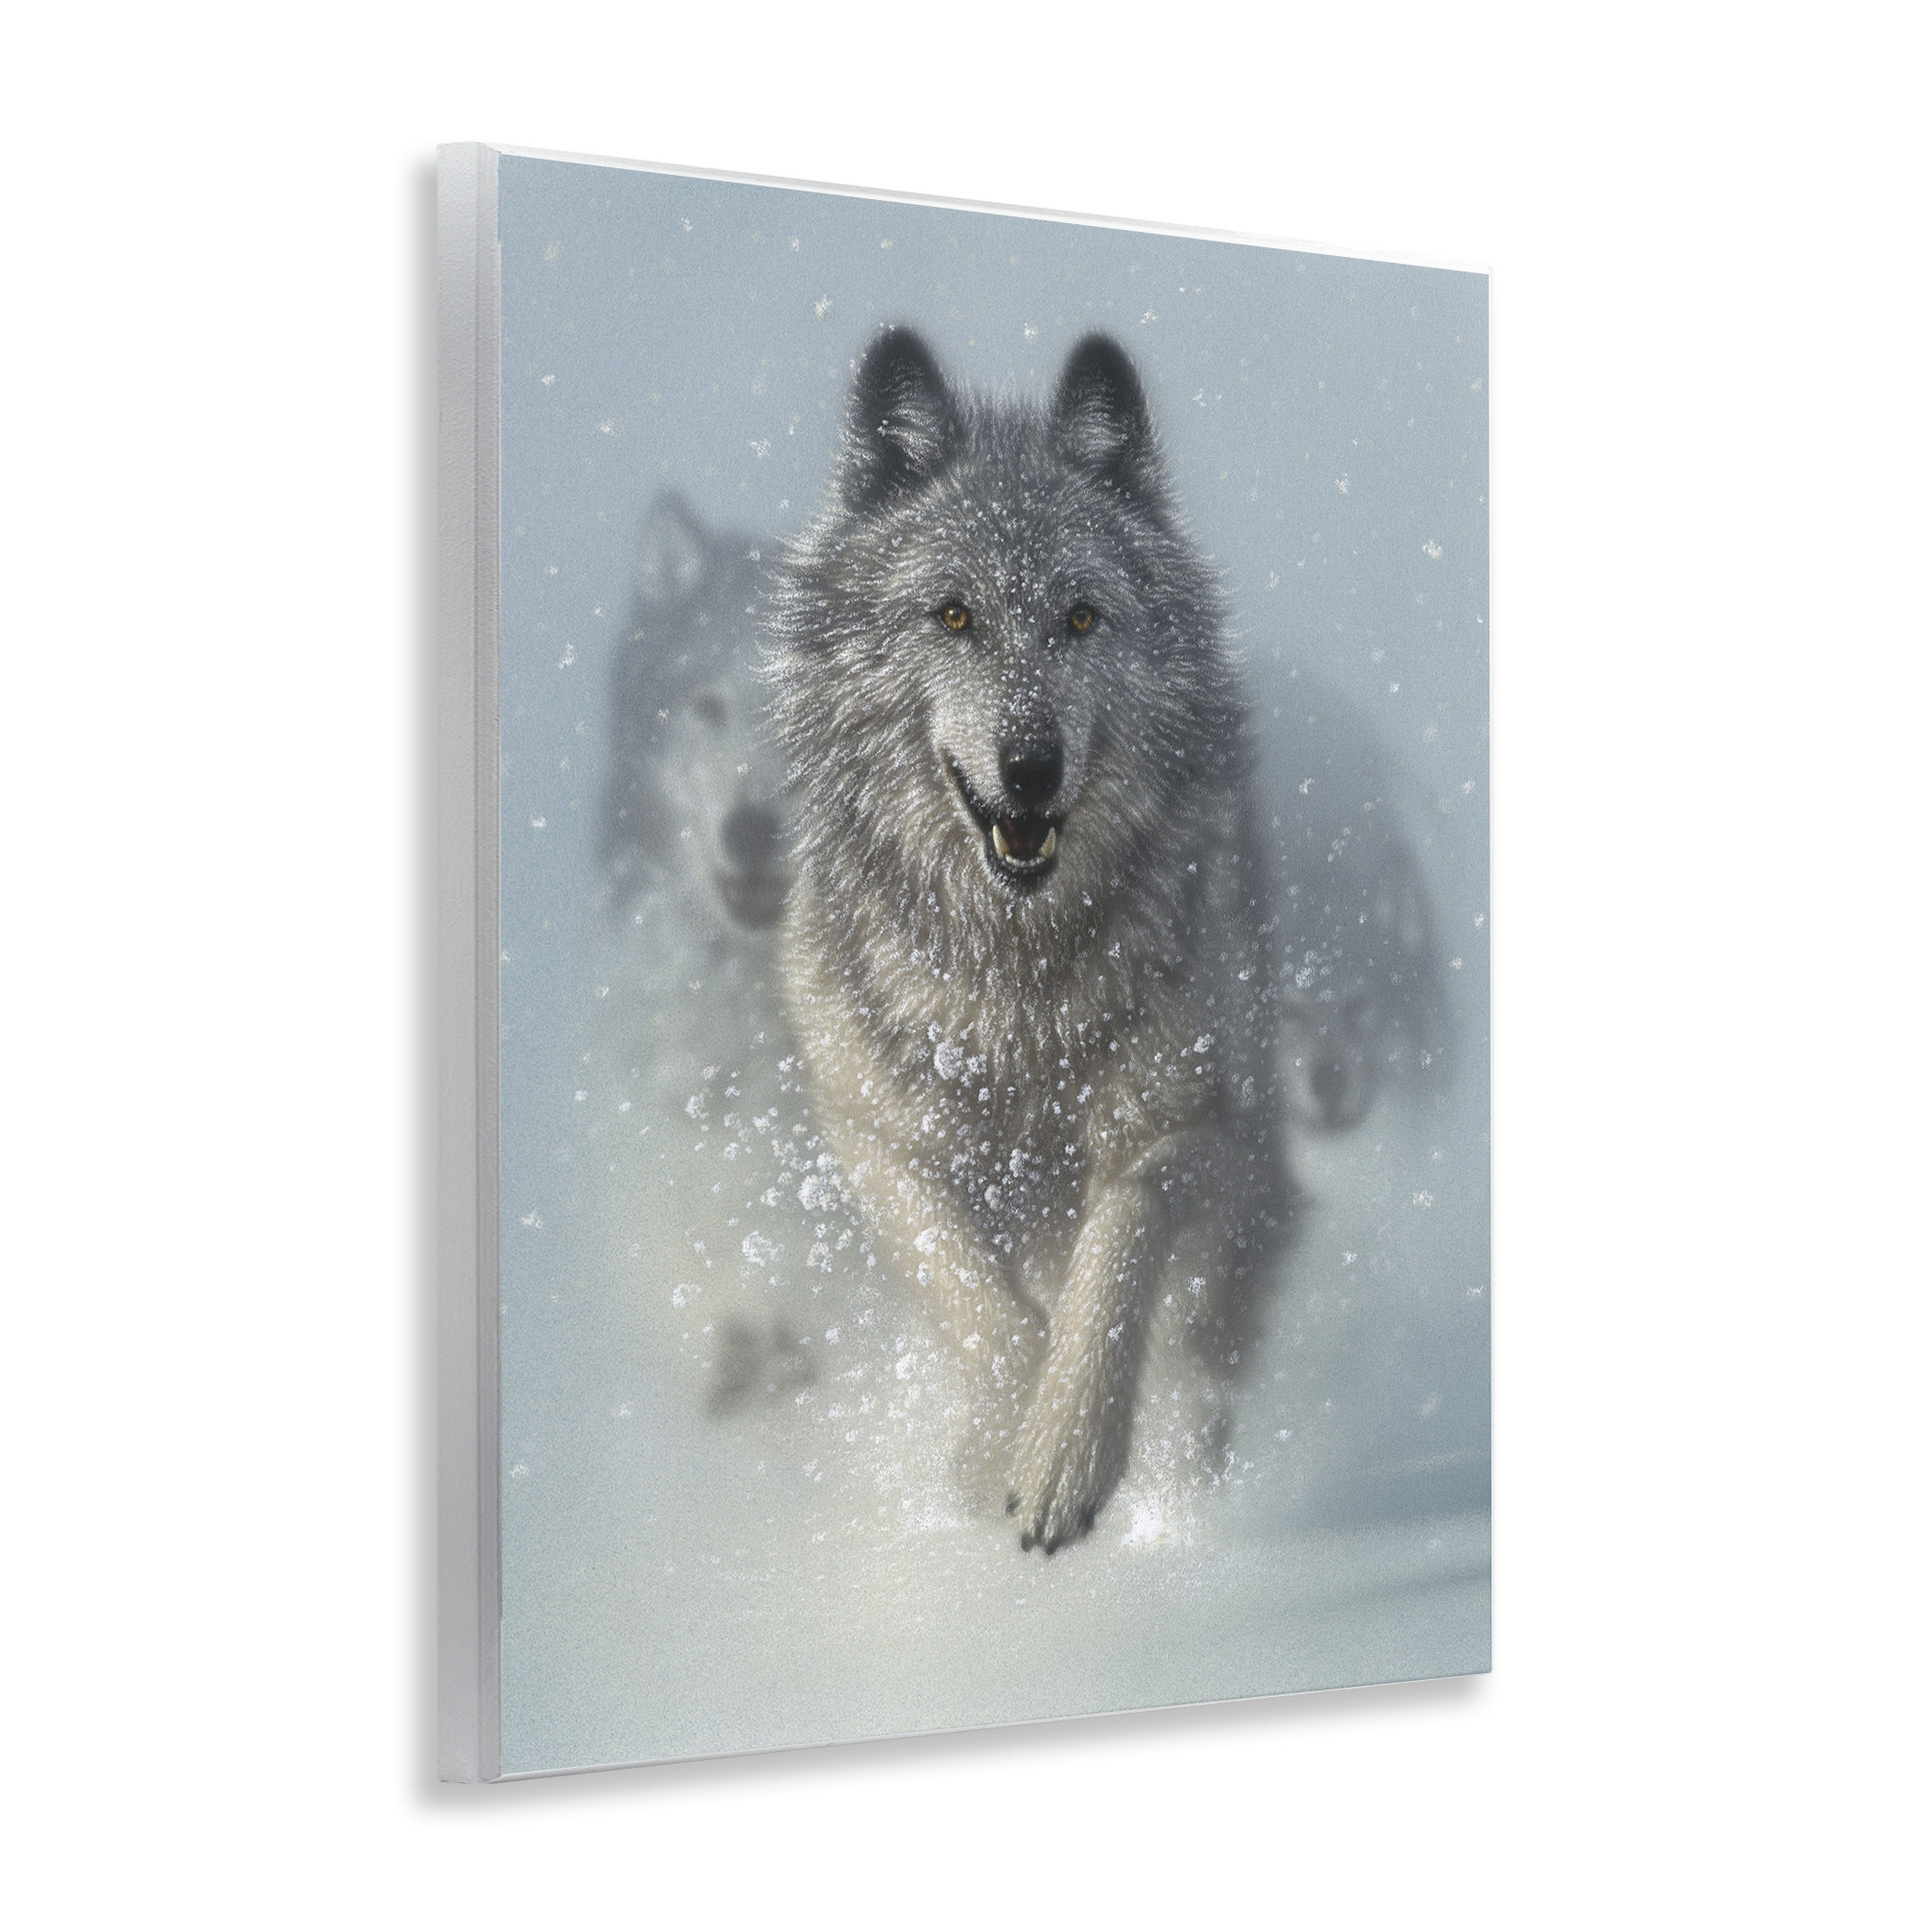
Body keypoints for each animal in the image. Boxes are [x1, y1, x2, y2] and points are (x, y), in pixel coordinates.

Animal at [766, 328, 1291, 1552]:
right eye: (952, 616)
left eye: (1081, 618)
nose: (1031, 766)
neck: (1010, 992)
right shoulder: (873, 1138)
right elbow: (975, 1298)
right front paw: (996, 1445)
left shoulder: (1181, 1124)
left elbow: (1110, 1267)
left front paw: (1064, 1456)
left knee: (1203, 1348)